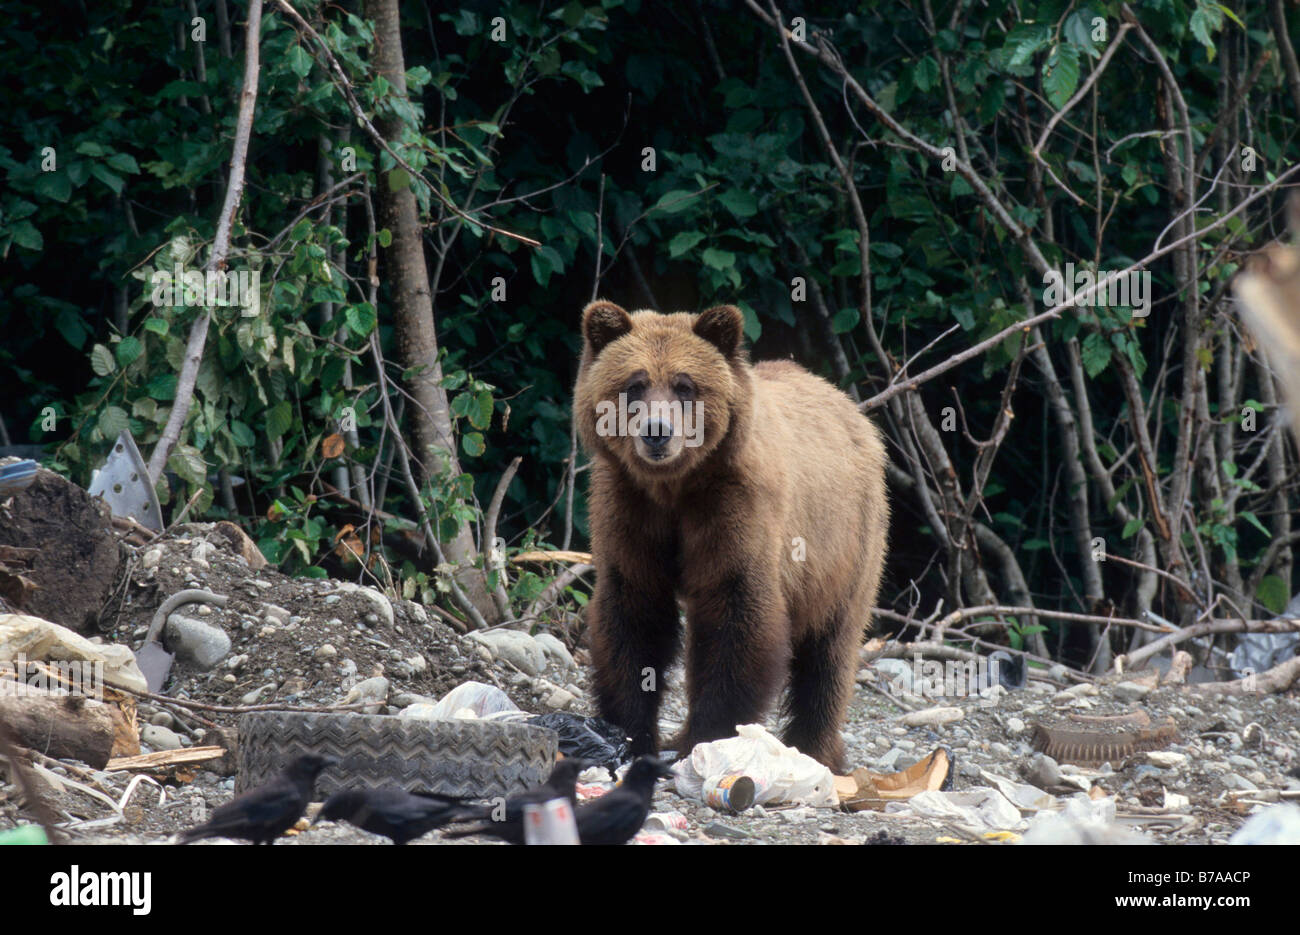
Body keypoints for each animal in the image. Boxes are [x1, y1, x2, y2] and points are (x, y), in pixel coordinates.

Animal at [573, 300, 889, 772]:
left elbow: (737, 615)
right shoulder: (630, 508)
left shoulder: (737, 508)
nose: (656, 432)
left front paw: (711, 736)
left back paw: (815, 748)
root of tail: (849, 407)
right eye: (635, 384)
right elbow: (634, 612)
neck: (675, 486)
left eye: (685, 385)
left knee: (830, 647)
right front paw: (630, 733)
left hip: (848, 539)